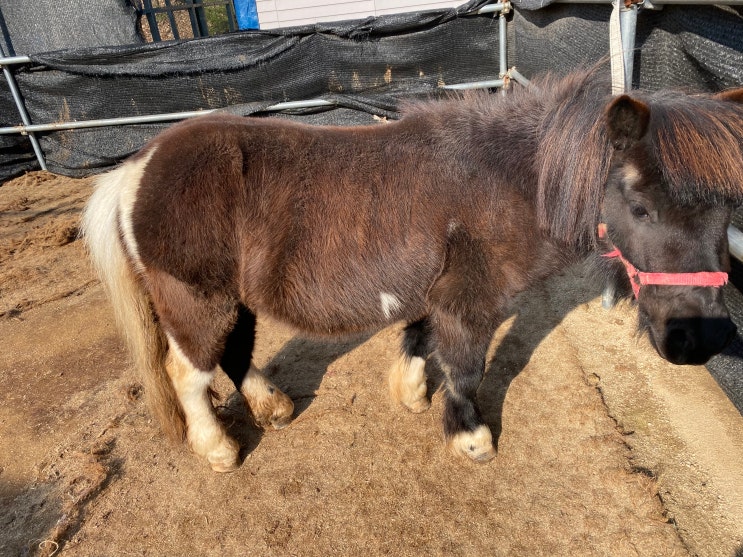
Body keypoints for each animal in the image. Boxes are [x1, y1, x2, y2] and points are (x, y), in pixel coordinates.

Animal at [81, 70, 743, 472]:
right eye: (639, 205)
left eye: (728, 210)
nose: (700, 341)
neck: (507, 186)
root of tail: (136, 167)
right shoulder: (471, 302)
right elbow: (466, 368)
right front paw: (470, 438)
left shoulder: (435, 290)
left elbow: (420, 341)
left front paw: (412, 396)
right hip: (197, 299)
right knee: (189, 371)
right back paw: (219, 450)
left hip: (232, 297)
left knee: (236, 352)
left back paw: (272, 408)